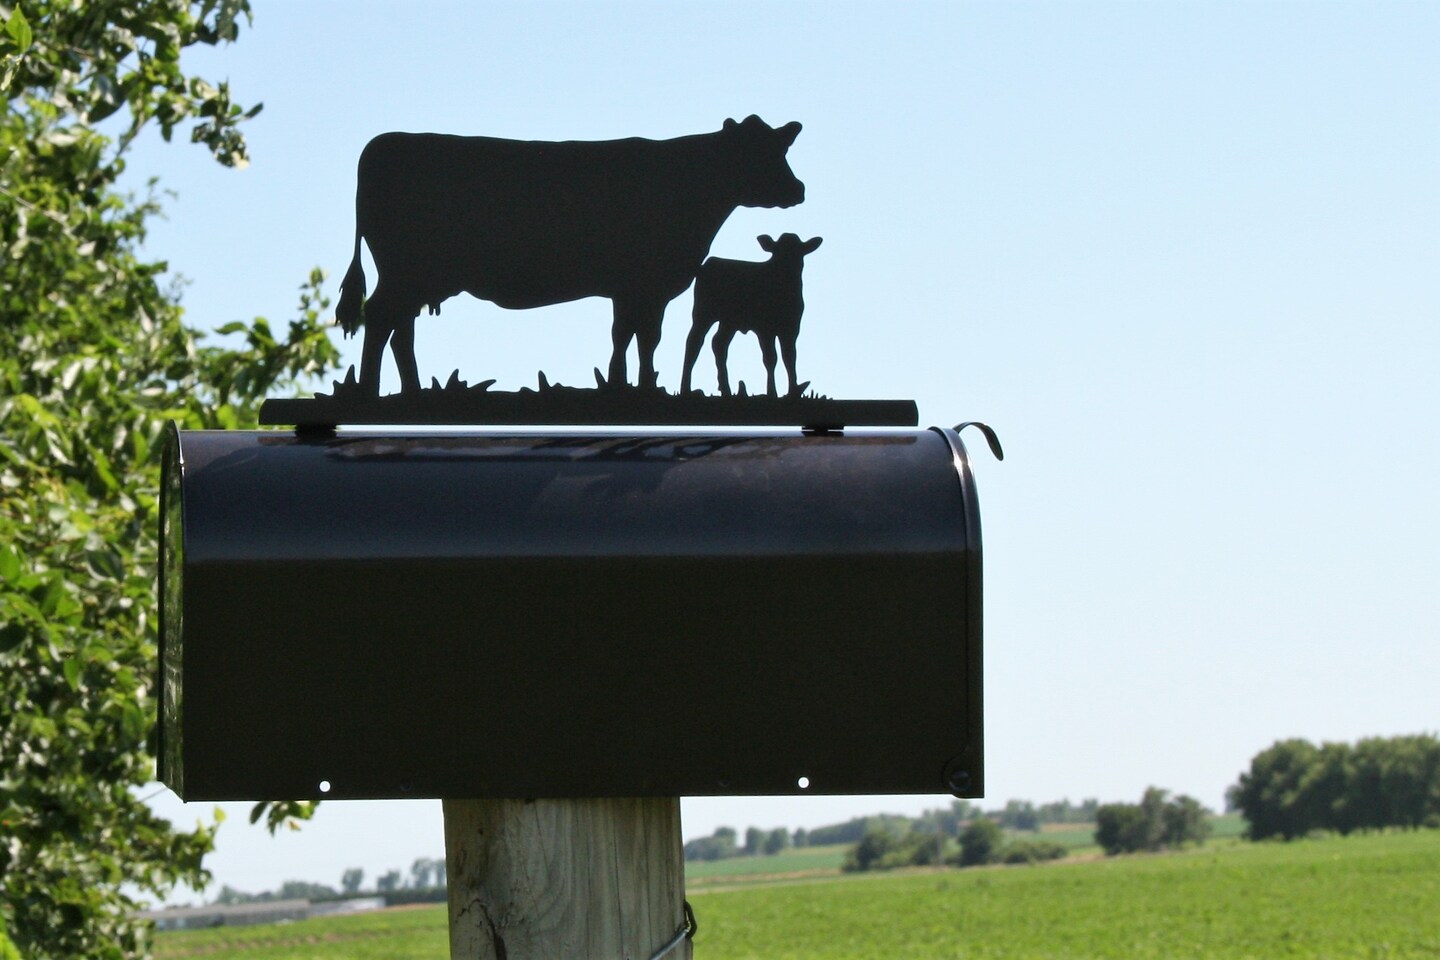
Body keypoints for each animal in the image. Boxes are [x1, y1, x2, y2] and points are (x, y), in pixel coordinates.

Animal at [334, 117, 805, 396]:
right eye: (762, 154)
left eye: (780, 149)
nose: (798, 189)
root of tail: (381, 144)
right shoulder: (648, 284)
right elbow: (643, 337)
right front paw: (638, 388)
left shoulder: (632, 288)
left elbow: (627, 336)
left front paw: (624, 386)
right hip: (405, 271)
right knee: (382, 318)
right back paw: (371, 389)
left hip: (417, 277)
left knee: (400, 329)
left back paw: (411, 391)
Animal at [680, 233, 823, 399]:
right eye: (776, 252)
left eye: (798, 252)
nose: (787, 267)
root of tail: (708, 263)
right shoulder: (764, 329)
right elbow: (770, 358)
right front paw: (772, 392)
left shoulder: (792, 328)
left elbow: (790, 357)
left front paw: (793, 390)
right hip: (703, 312)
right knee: (694, 341)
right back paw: (685, 388)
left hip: (729, 322)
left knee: (719, 343)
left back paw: (726, 389)